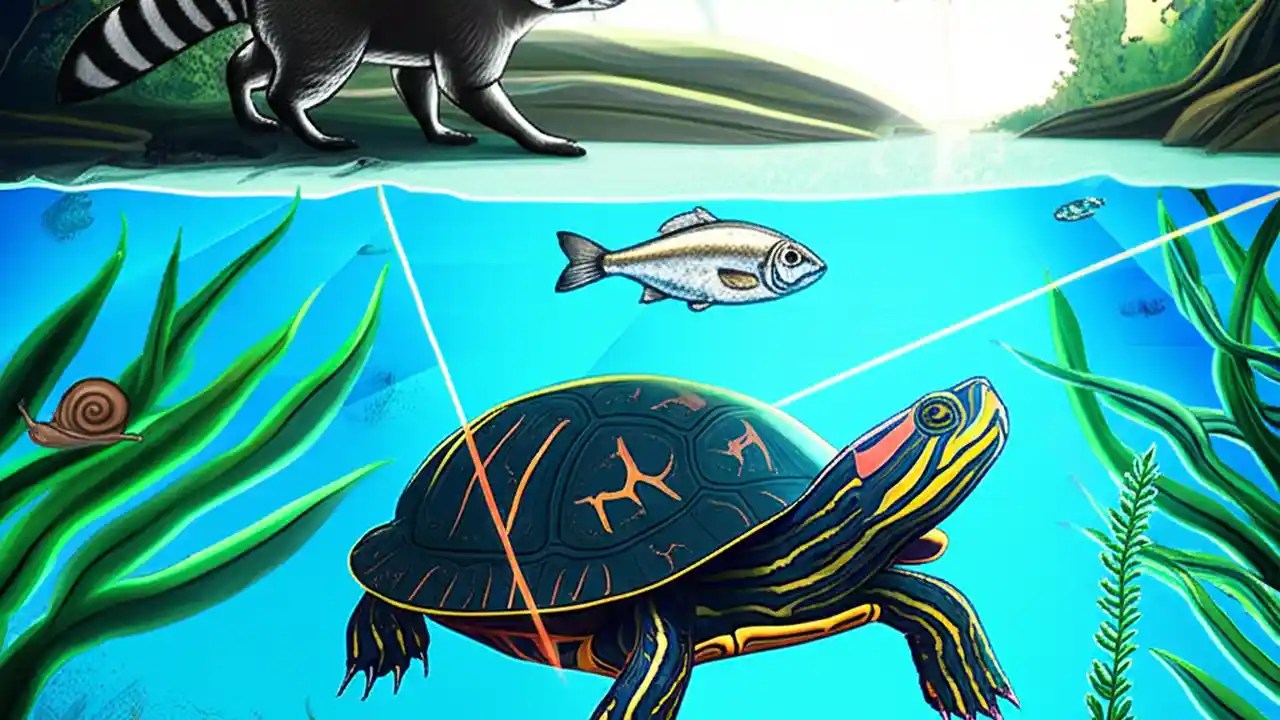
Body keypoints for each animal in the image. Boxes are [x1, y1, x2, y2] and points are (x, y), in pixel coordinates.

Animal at [55, 0, 625, 155]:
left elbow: (416, 81)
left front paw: (434, 126)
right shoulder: (473, 20)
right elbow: (469, 85)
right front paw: (537, 137)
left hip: (291, 22)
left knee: (255, 59)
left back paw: (246, 99)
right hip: (327, 24)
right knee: (304, 75)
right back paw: (301, 122)